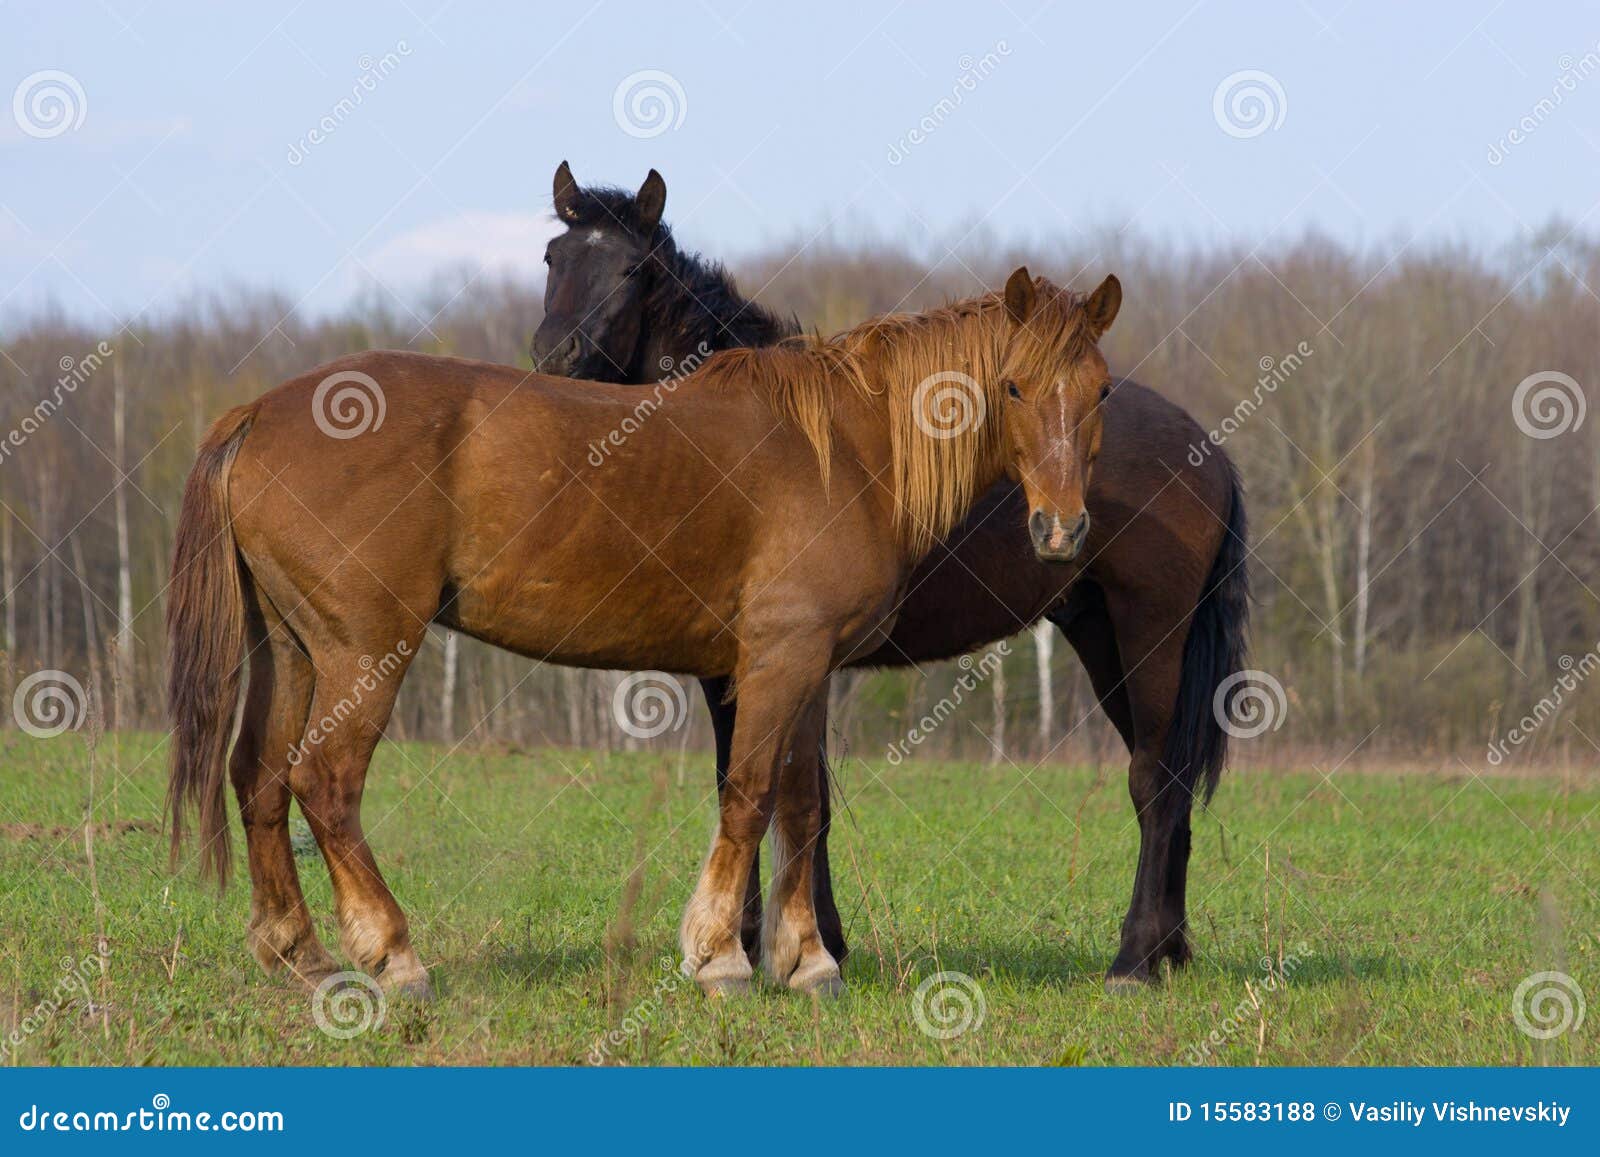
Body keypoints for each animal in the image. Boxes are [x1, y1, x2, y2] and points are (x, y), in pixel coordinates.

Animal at [166, 265, 1122, 1000]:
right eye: (1013, 386)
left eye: (1101, 390)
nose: (1061, 529)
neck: (846, 448)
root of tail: (258, 413)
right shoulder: (778, 660)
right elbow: (750, 796)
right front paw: (721, 958)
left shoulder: (809, 666)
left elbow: (802, 806)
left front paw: (807, 962)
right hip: (365, 651)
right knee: (324, 782)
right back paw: (394, 957)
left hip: (293, 649)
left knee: (259, 777)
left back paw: (301, 954)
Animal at [530, 163, 1249, 989]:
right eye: (553, 256)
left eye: (630, 269)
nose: (553, 356)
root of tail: (1207, 448)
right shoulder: (736, 666)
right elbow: (745, 782)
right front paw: (759, 937)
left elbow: (791, 790)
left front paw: (801, 943)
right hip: (1102, 638)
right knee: (1168, 783)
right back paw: (1171, 949)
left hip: (1149, 633)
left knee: (1155, 782)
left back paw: (1134, 959)